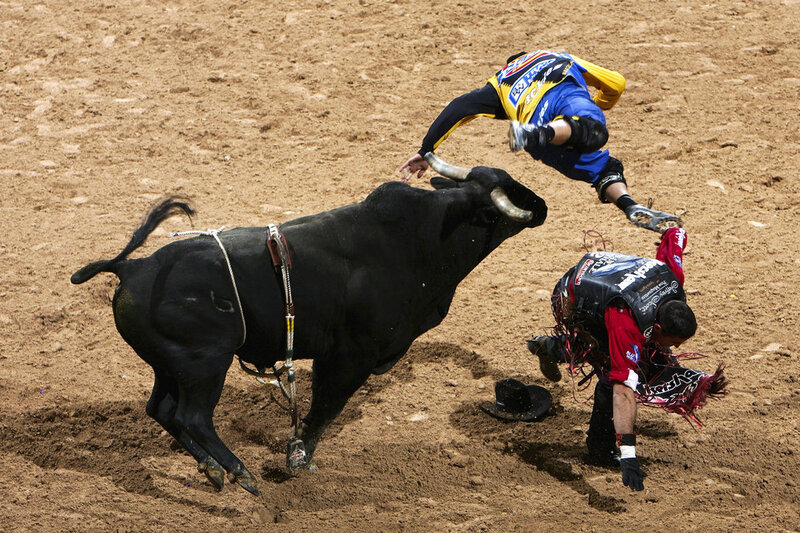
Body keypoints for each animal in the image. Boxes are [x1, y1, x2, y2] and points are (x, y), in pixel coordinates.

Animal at [70, 154, 547, 495]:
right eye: (510, 196)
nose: (540, 205)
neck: (422, 238)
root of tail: (131, 268)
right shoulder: (350, 357)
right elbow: (324, 409)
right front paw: (298, 457)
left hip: (169, 367)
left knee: (162, 410)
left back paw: (213, 470)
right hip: (204, 364)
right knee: (192, 417)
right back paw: (241, 474)